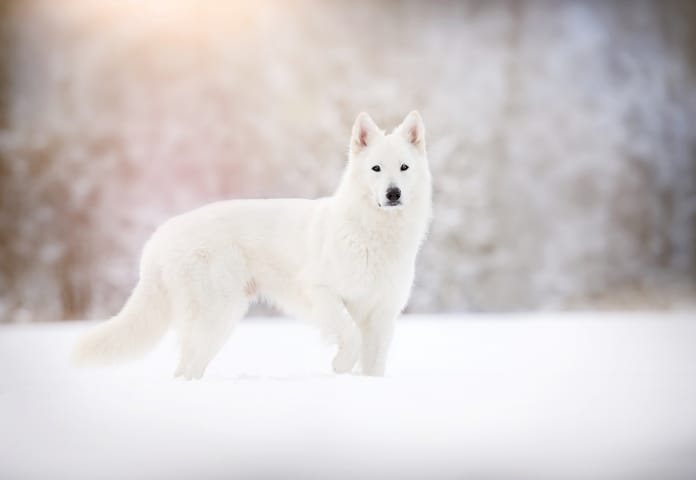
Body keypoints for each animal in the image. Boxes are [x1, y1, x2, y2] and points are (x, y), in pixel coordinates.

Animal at [73, 111, 432, 379]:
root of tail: (162, 235)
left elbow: (374, 365)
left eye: (404, 167)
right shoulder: (320, 291)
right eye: (376, 168)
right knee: (185, 369)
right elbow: (350, 333)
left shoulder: (383, 314)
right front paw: (341, 365)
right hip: (216, 315)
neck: (374, 232)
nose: (393, 193)